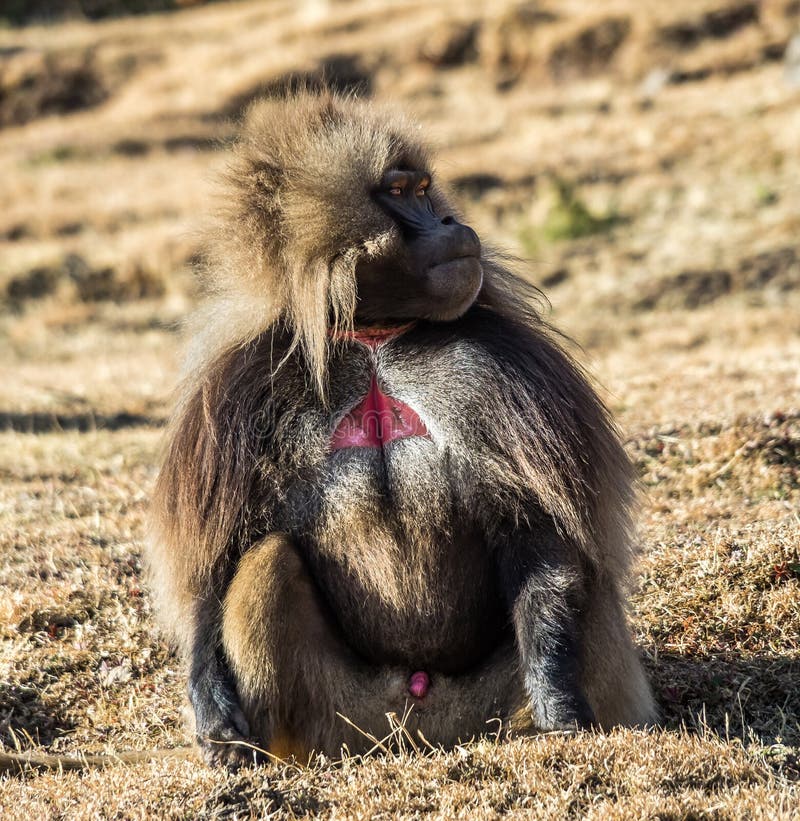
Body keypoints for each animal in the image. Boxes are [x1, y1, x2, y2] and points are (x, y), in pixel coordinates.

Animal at [146, 90, 657, 769]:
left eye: (424, 188)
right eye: (398, 191)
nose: (450, 224)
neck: (373, 338)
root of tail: (417, 732)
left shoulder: (502, 366)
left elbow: (537, 524)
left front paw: (560, 702)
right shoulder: (241, 389)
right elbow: (222, 557)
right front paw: (213, 712)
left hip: (476, 710)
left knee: (580, 583)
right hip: (340, 723)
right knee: (267, 563)